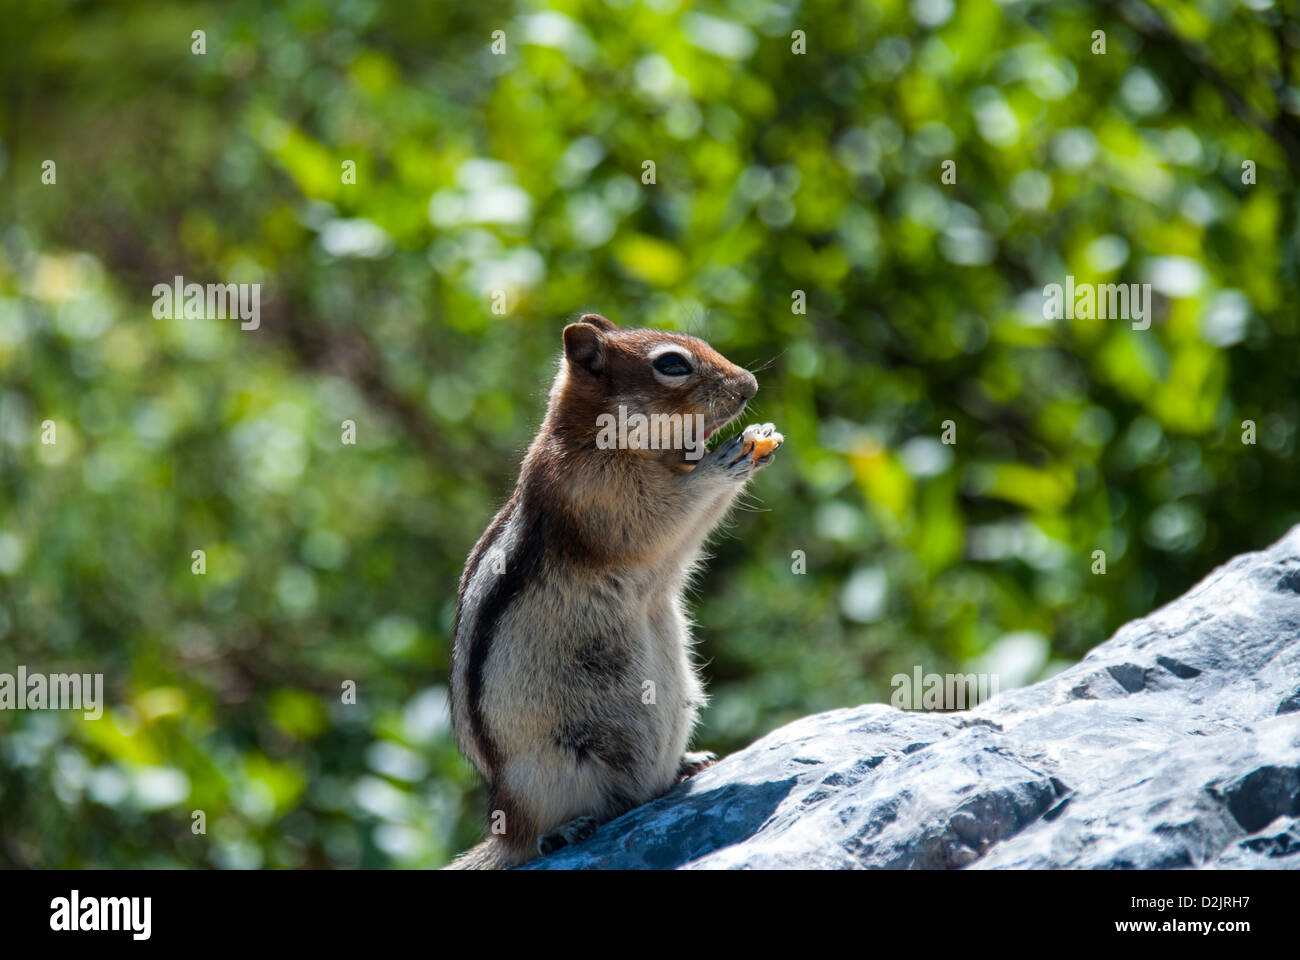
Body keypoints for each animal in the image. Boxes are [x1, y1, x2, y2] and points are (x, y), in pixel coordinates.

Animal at [445, 313, 782, 869]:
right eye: (673, 364)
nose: (750, 386)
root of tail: (503, 825)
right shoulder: (597, 491)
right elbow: (660, 515)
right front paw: (729, 457)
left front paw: (758, 442)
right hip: (551, 773)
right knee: (537, 834)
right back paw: (564, 832)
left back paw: (687, 764)